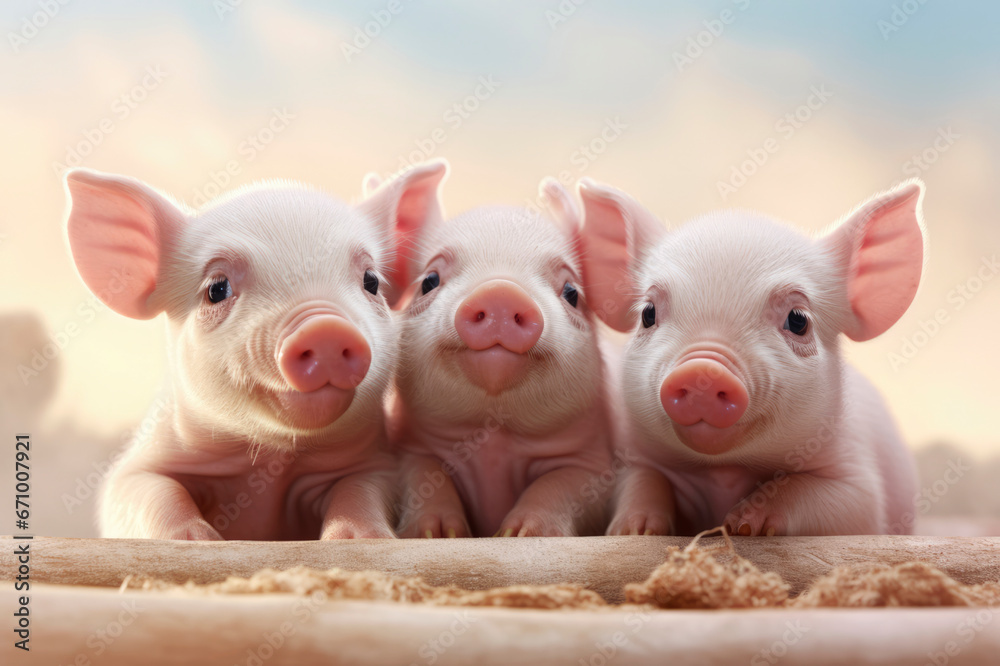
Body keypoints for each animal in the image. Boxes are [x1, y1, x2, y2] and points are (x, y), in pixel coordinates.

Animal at [64, 164, 445, 540]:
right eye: (217, 289)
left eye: (371, 281)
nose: (325, 328)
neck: (269, 464)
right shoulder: (139, 464)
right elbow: (149, 491)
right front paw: (199, 541)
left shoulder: (374, 464)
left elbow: (360, 492)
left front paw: (364, 539)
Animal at [366, 163, 615, 538]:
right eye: (429, 281)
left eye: (571, 292)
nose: (500, 292)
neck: (495, 439)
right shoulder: (409, 450)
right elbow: (425, 475)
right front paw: (438, 533)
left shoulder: (593, 466)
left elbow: (558, 484)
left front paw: (520, 534)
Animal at [577, 178, 924, 536]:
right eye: (648, 313)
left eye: (798, 320)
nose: (702, 369)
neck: (724, 473)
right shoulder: (632, 458)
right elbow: (641, 479)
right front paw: (632, 530)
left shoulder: (857, 478)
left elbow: (831, 497)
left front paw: (741, 525)